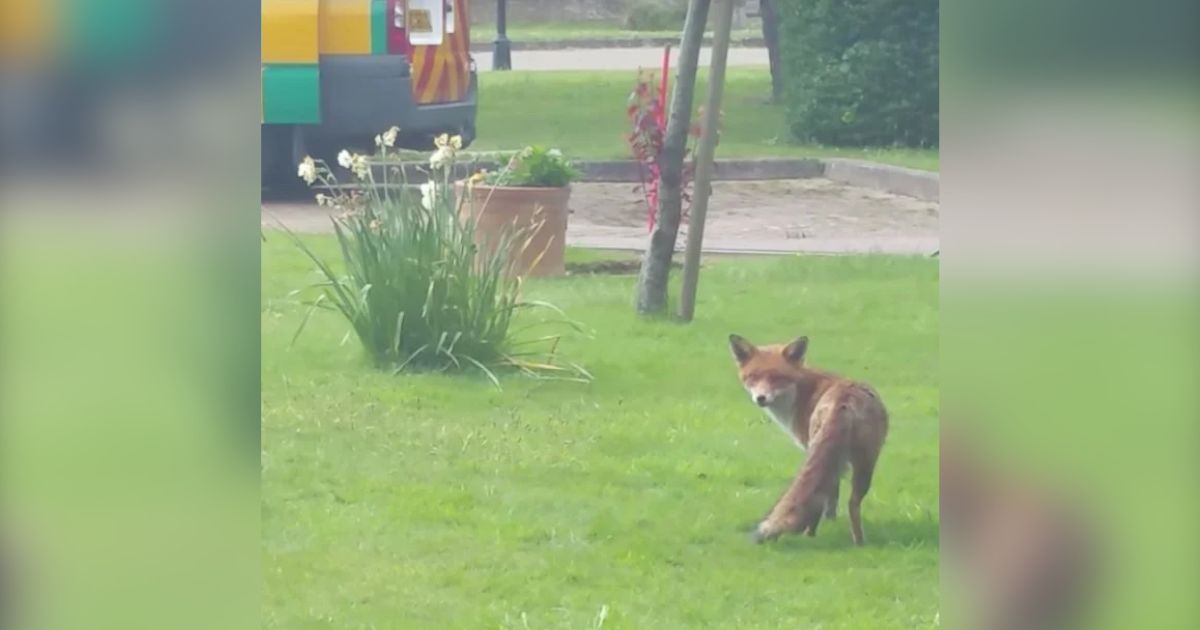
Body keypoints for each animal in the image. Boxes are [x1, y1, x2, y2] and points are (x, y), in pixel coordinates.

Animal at [729, 334, 888, 545]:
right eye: (752, 377)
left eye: (777, 377)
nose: (761, 398)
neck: (802, 392)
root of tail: (844, 401)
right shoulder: (838, 461)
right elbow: (832, 496)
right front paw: (831, 521)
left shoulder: (809, 447)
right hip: (864, 462)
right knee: (850, 502)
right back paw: (855, 541)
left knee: (831, 501)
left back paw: (819, 535)